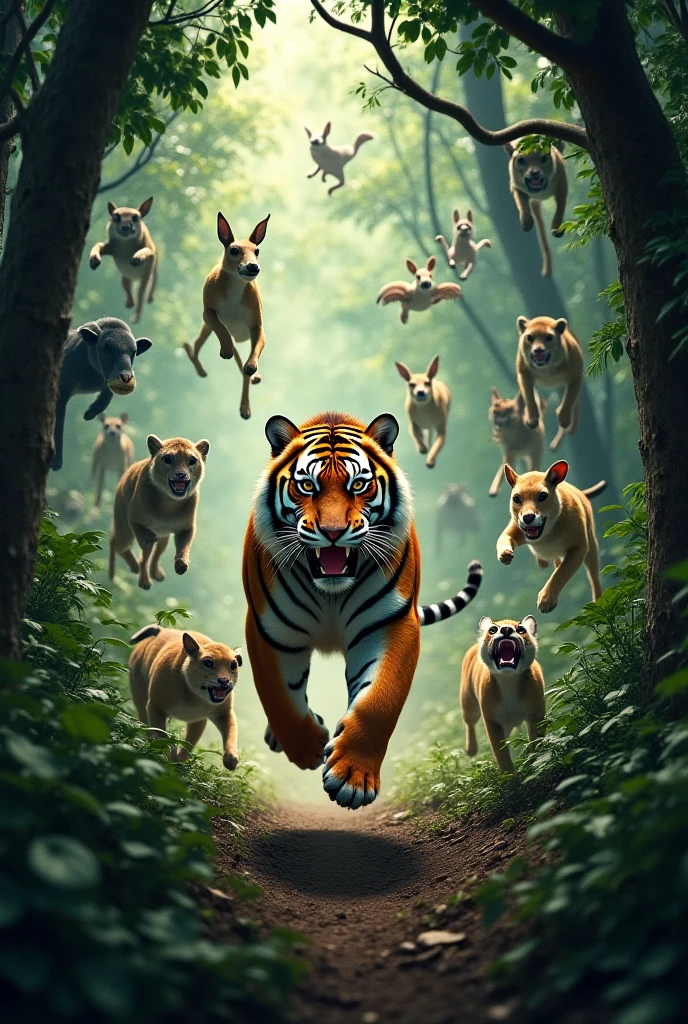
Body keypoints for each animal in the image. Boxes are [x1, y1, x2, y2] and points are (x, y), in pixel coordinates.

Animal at [242, 410, 484, 810]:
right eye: (306, 486)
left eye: (358, 484)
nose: (333, 532)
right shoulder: (270, 629)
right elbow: (281, 698)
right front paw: (308, 747)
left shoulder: (390, 624)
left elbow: (377, 701)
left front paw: (351, 779)